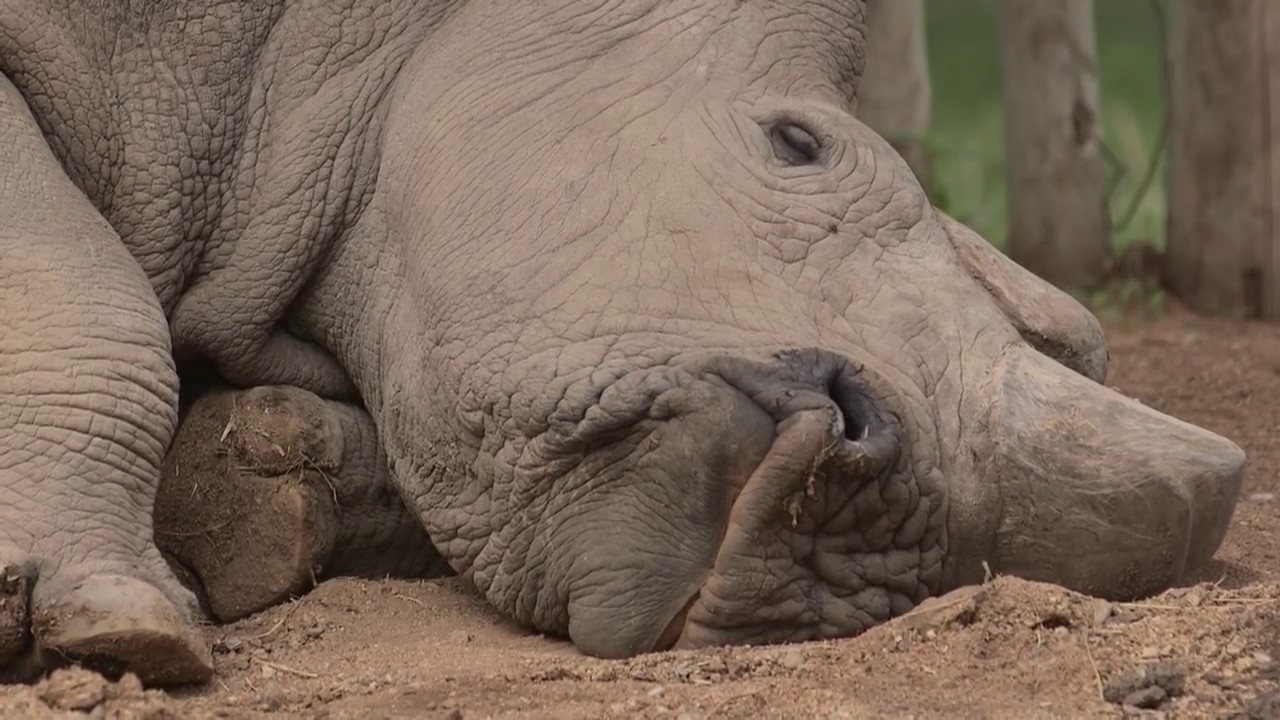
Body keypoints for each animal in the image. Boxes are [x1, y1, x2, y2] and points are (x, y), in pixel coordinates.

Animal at [0, 0, 1245, 686]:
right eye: (795, 145)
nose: (859, 552)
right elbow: (80, 285)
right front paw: (109, 627)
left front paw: (253, 494)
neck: (306, 49)